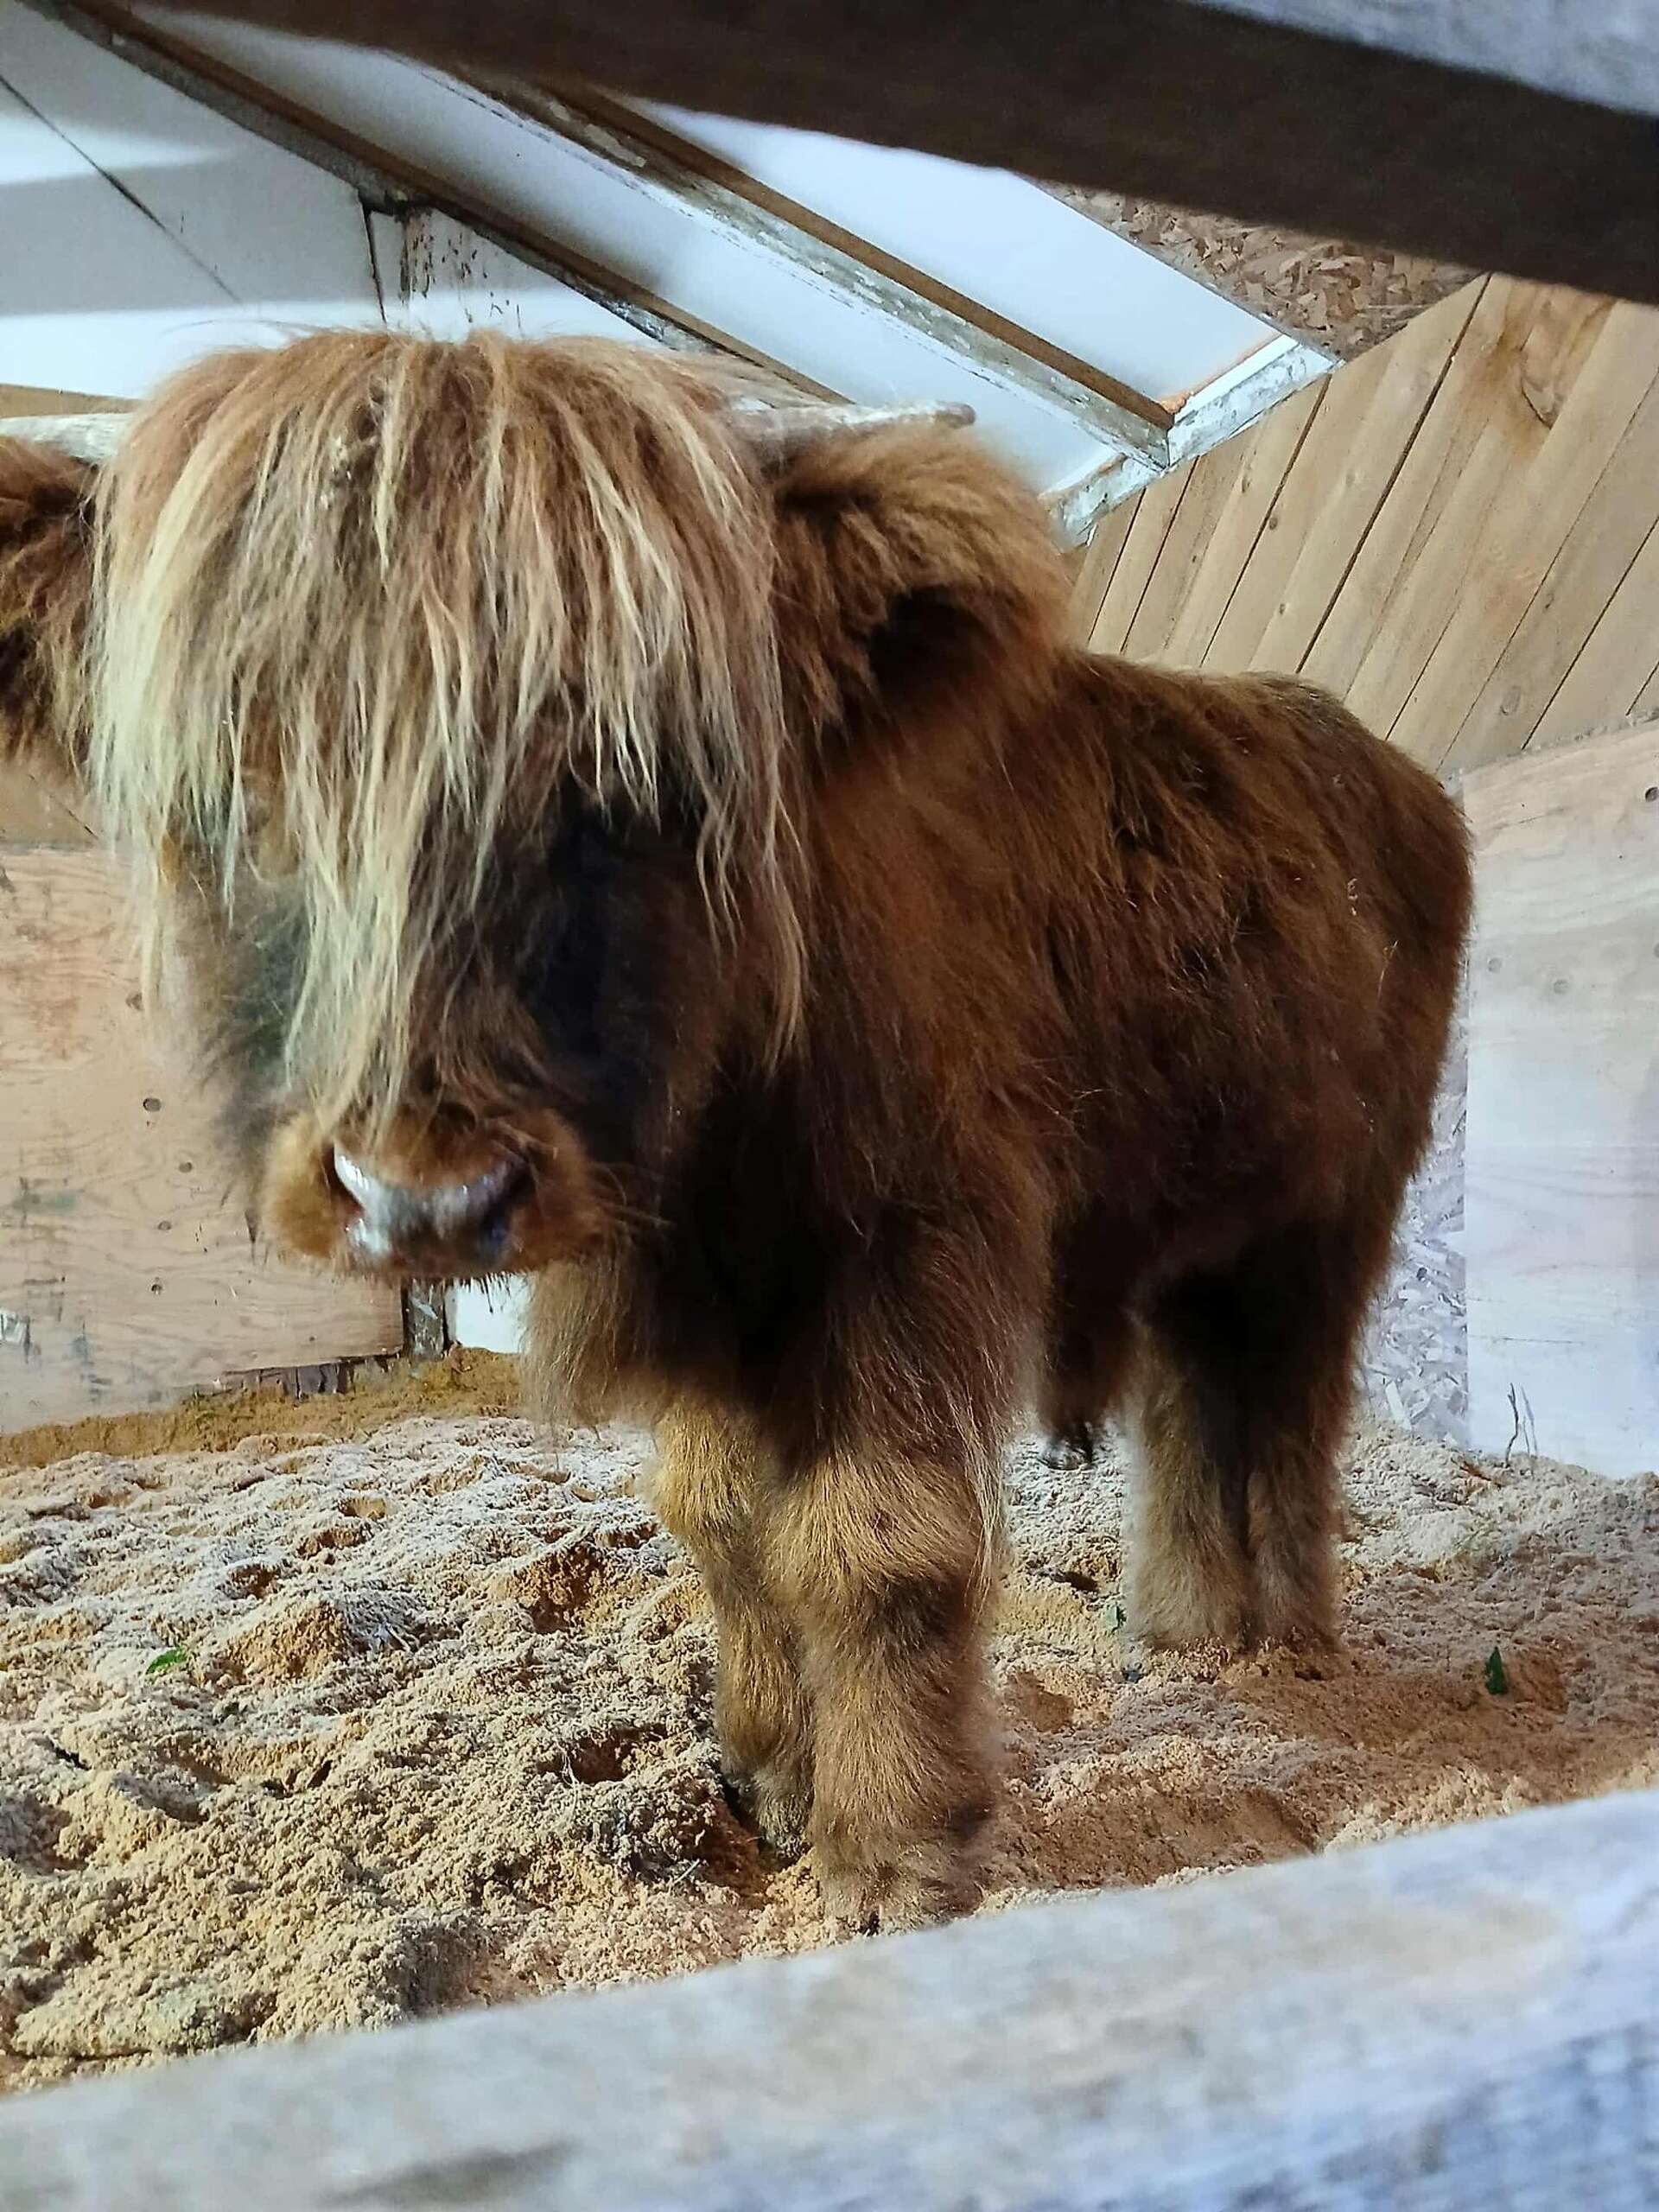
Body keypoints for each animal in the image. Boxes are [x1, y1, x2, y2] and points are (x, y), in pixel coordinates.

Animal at [0, 331, 1471, 1930]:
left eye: (623, 771)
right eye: (241, 773)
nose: (427, 1196)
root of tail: (1399, 774)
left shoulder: (904, 1251)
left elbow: (872, 1541)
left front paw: (895, 1856)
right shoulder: (705, 1296)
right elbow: (720, 1522)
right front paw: (769, 1784)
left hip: (1334, 1215)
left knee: (1293, 1411)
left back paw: (1294, 1646)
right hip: (1193, 1232)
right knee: (1196, 1408)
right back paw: (1192, 1635)